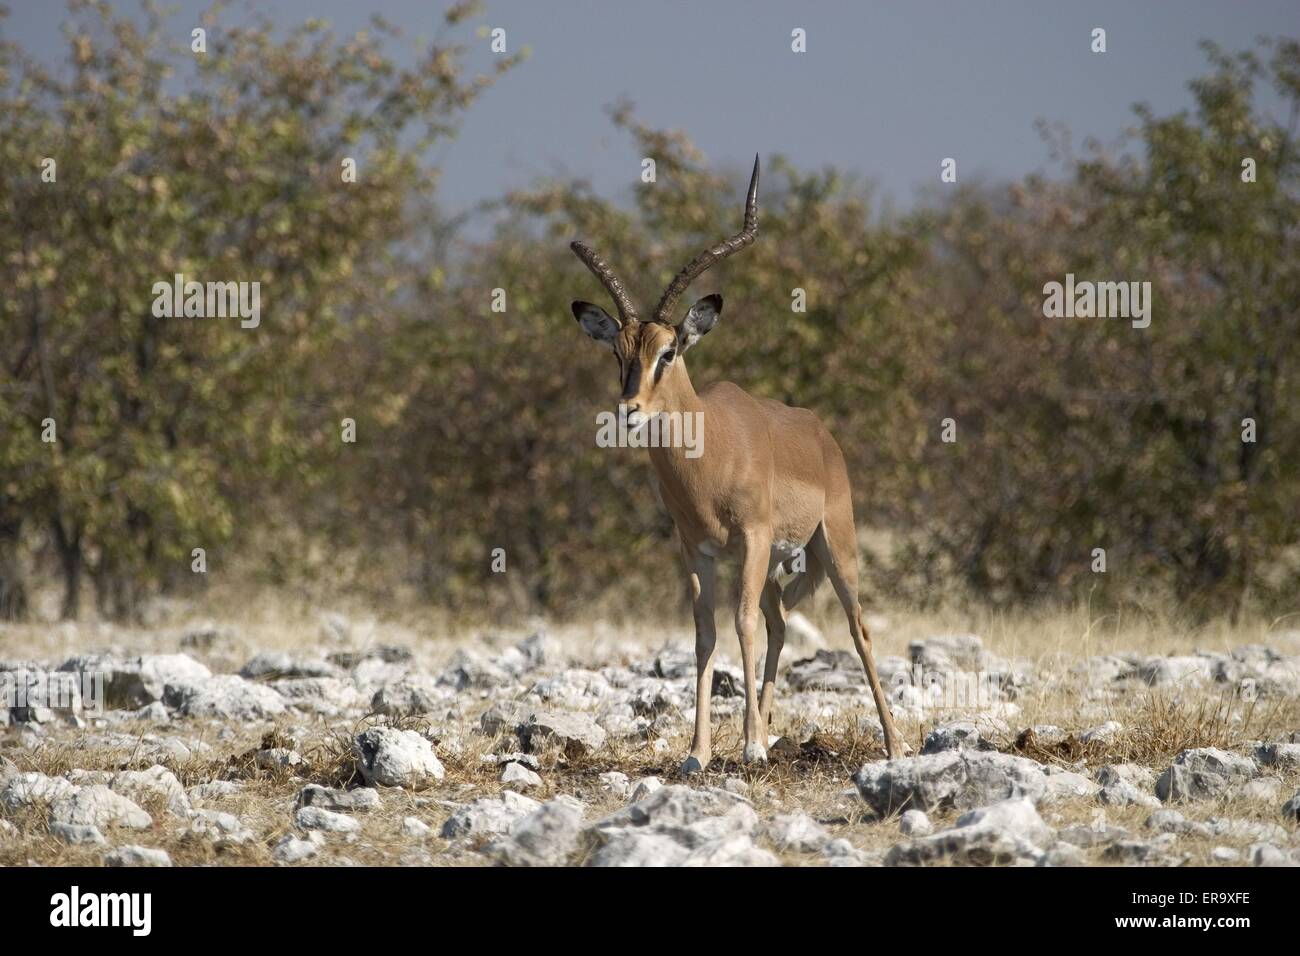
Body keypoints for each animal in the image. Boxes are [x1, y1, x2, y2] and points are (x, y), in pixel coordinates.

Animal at [569, 156, 904, 772]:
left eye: (669, 352)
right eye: (617, 353)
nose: (628, 410)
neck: (710, 460)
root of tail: (819, 431)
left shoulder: (750, 538)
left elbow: (740, 623)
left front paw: (747, 746)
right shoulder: (697, 549)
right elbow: (705, 635)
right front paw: (698, 753)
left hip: (833, 547)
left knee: (856, 626)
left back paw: (891, 744)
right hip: (774, 565)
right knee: (778, 623)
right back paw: (769, 730)